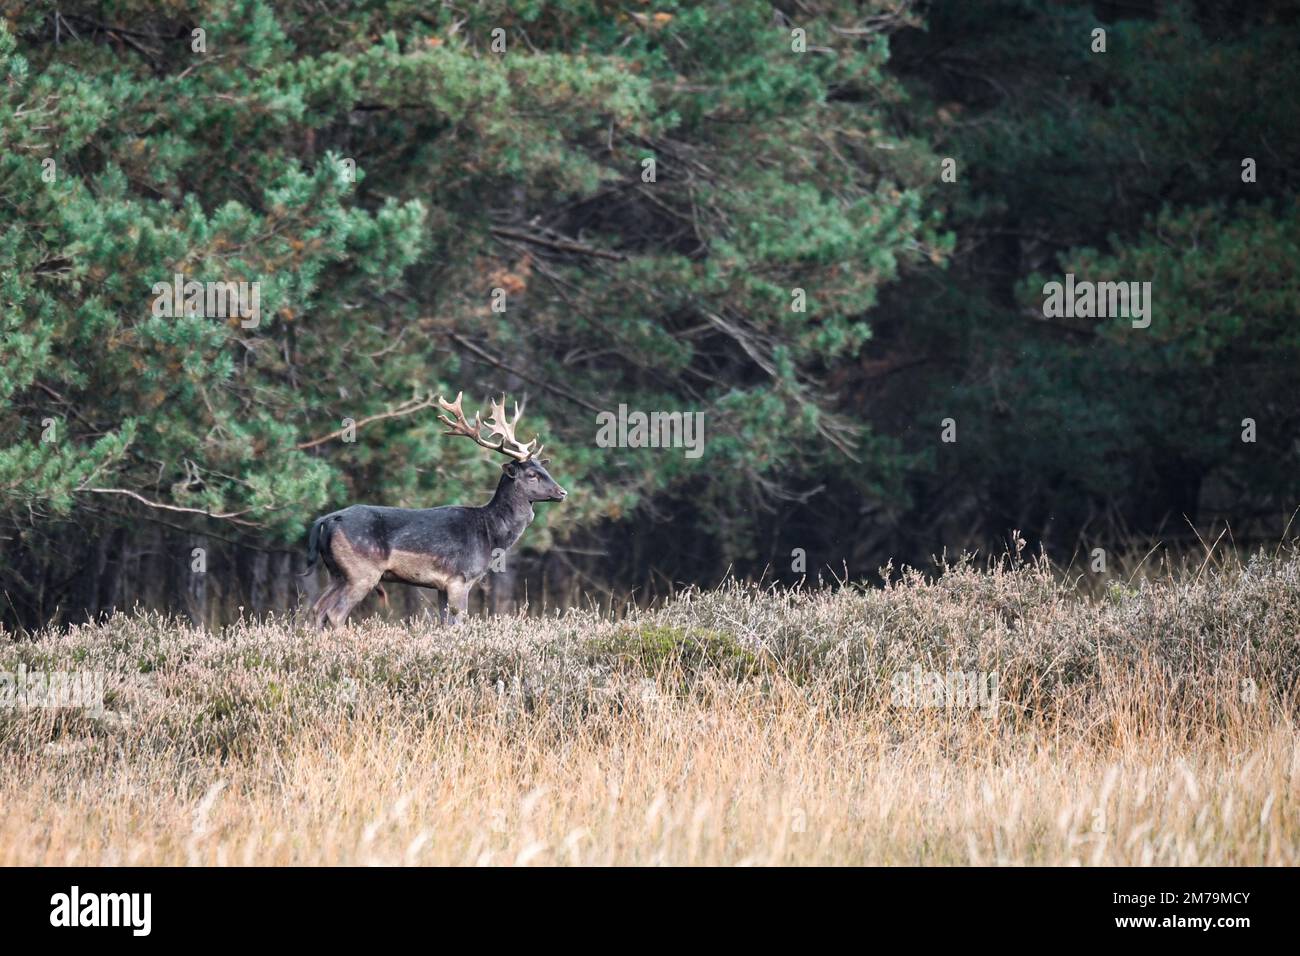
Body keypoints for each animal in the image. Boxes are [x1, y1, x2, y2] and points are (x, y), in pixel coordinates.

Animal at [302, 392, 566, 628]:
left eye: (544, 469)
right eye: (532, 475)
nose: (562, 492)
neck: (490, 534)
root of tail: (328, 519)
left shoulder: (441, 585)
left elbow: (444, 624)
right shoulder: (460, 578)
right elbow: (458, 624)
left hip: (337, 572)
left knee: (318, 609)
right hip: (361, 570)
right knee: (335, 613)